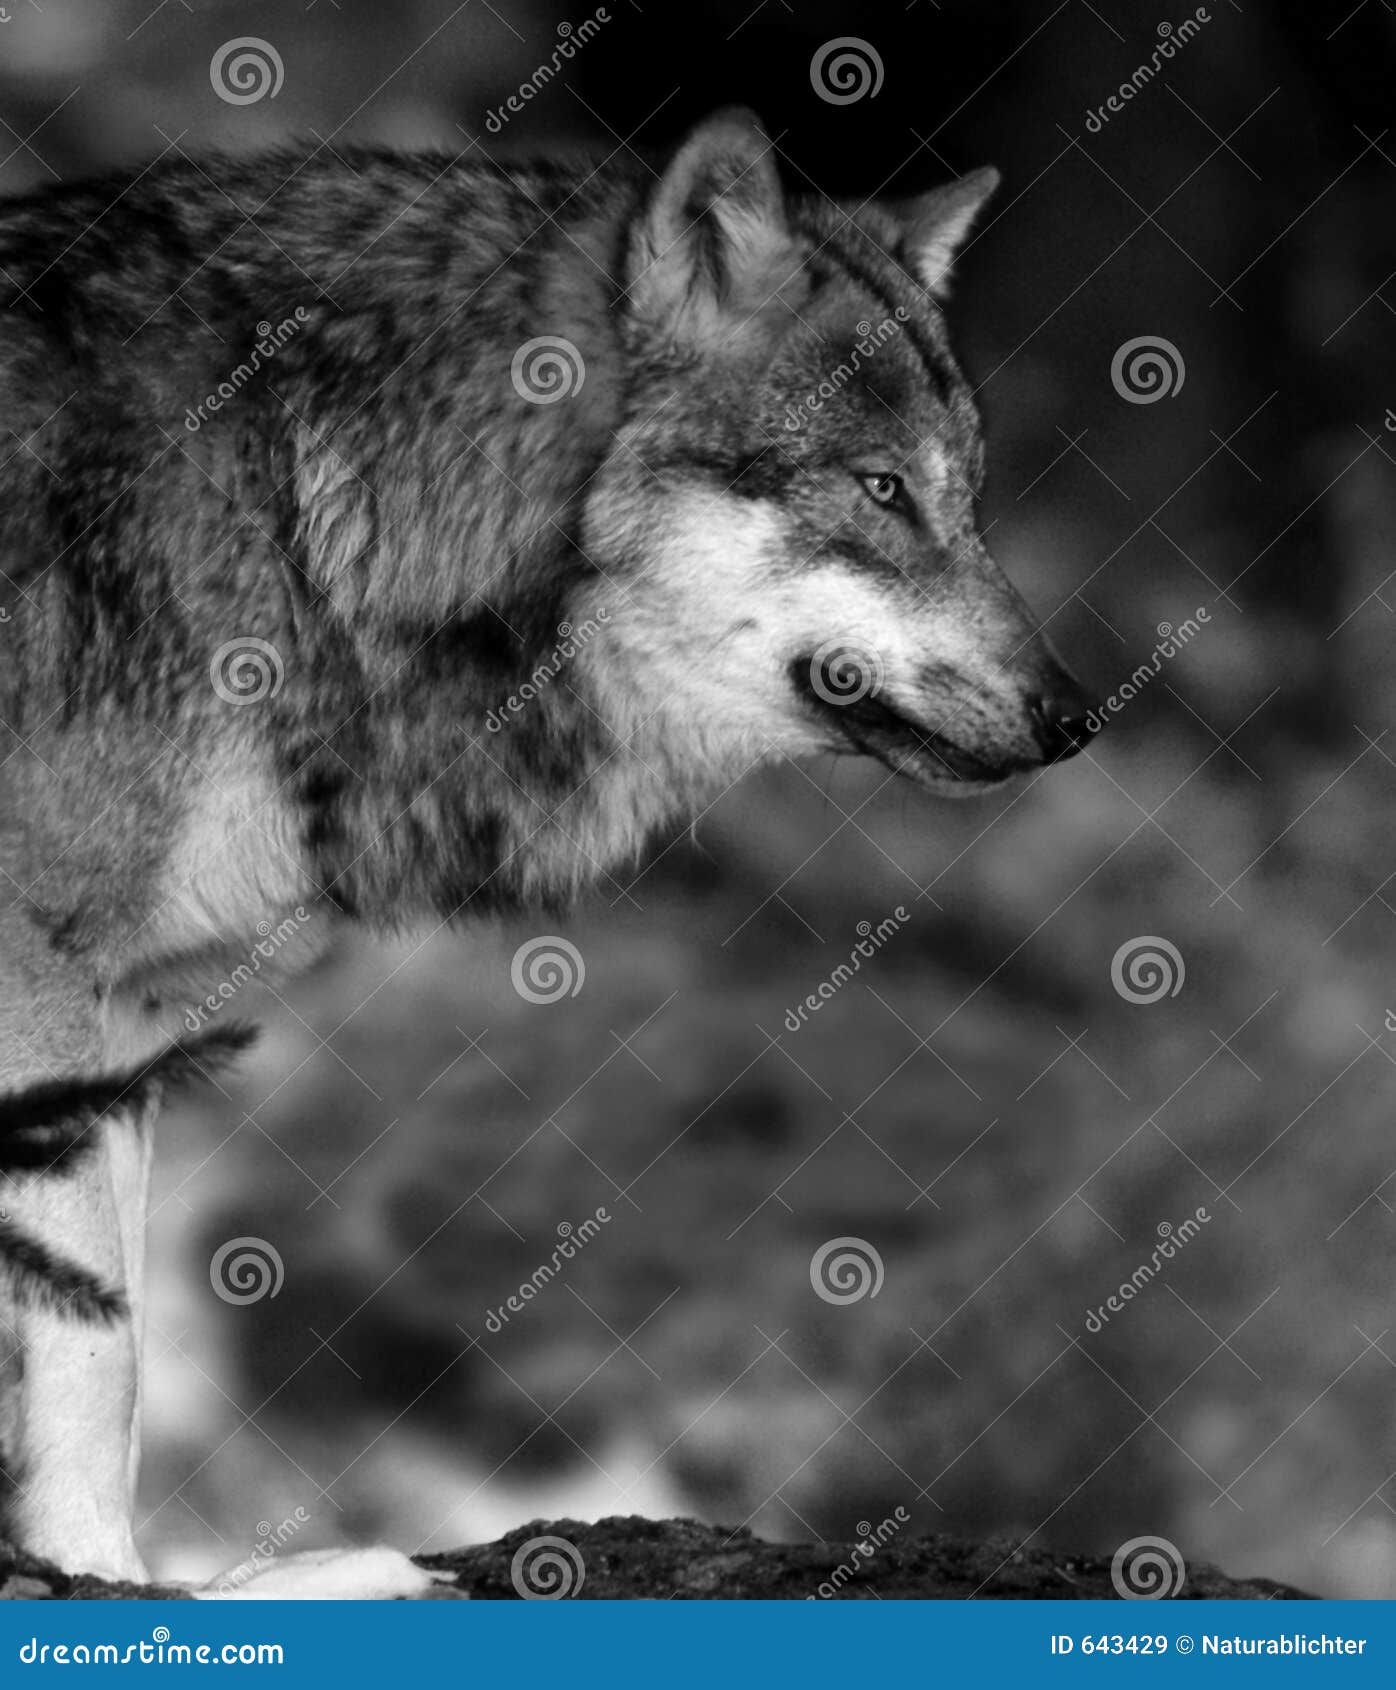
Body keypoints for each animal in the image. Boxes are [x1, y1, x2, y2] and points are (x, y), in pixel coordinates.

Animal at [0, 108, 1096, 1595]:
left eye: (966, 499)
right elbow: (93, 1344)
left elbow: (110, 1330)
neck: (296, 506)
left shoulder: (131, 1018)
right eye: (880, 490)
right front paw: (98, 1583)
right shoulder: (43, 970)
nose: (1075, 717)